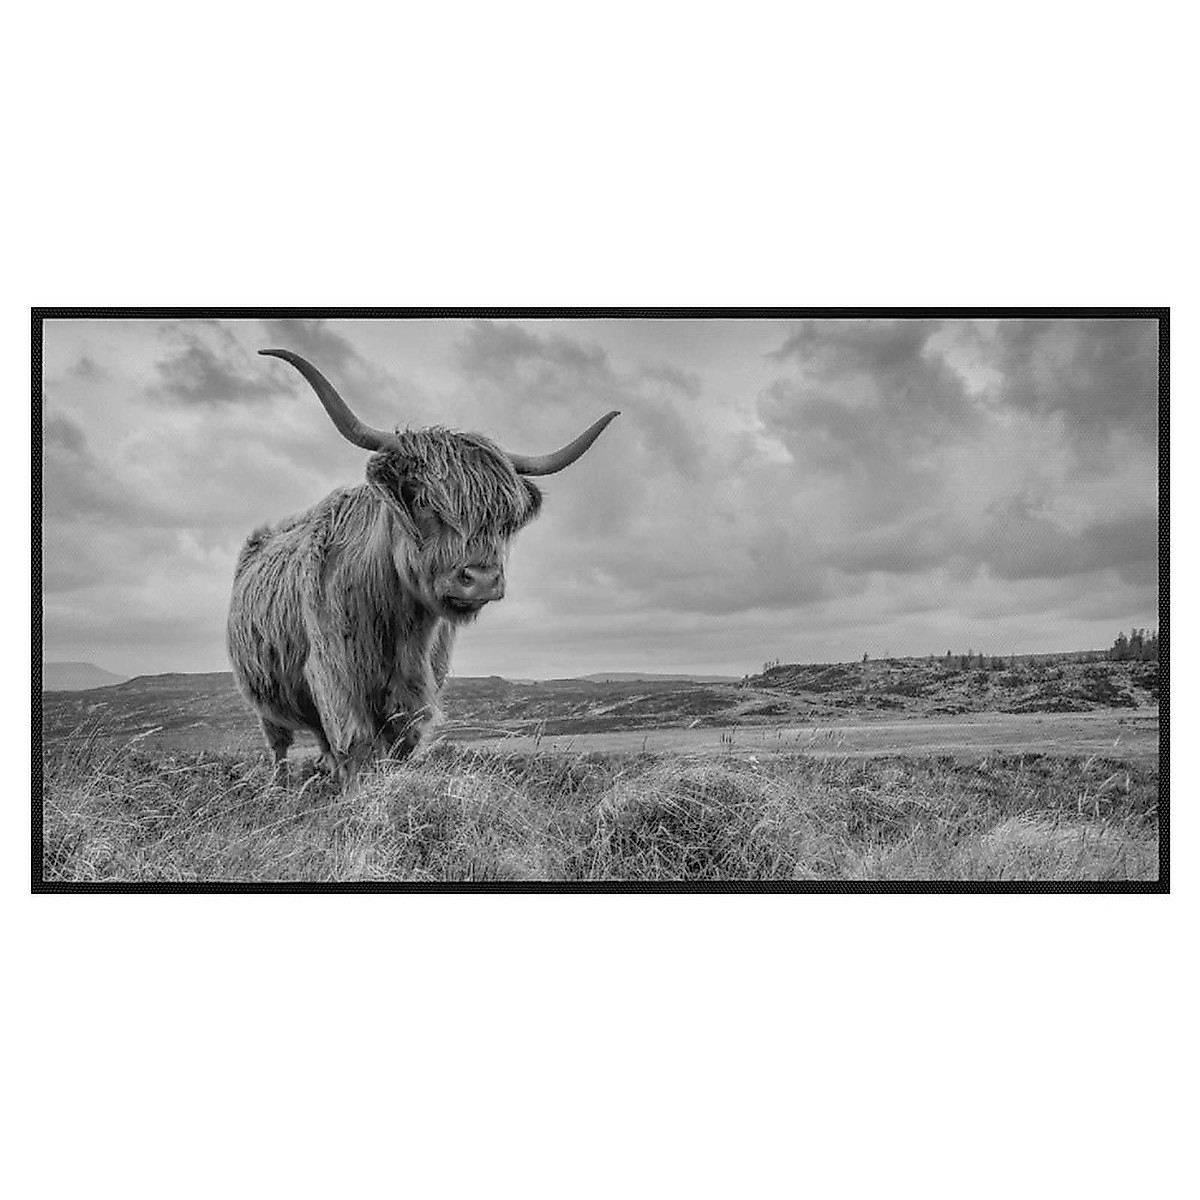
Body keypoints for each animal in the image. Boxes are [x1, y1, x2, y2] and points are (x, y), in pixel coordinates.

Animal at [226, 348, 618, 784]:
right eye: (423, 500)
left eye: (503, 518)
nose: (481, 579)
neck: (398, 624)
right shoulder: (334, 676)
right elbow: (356, 746)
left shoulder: (418, 688)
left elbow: (400, 744)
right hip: (262, 696)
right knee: (279, 744)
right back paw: (282, 787)